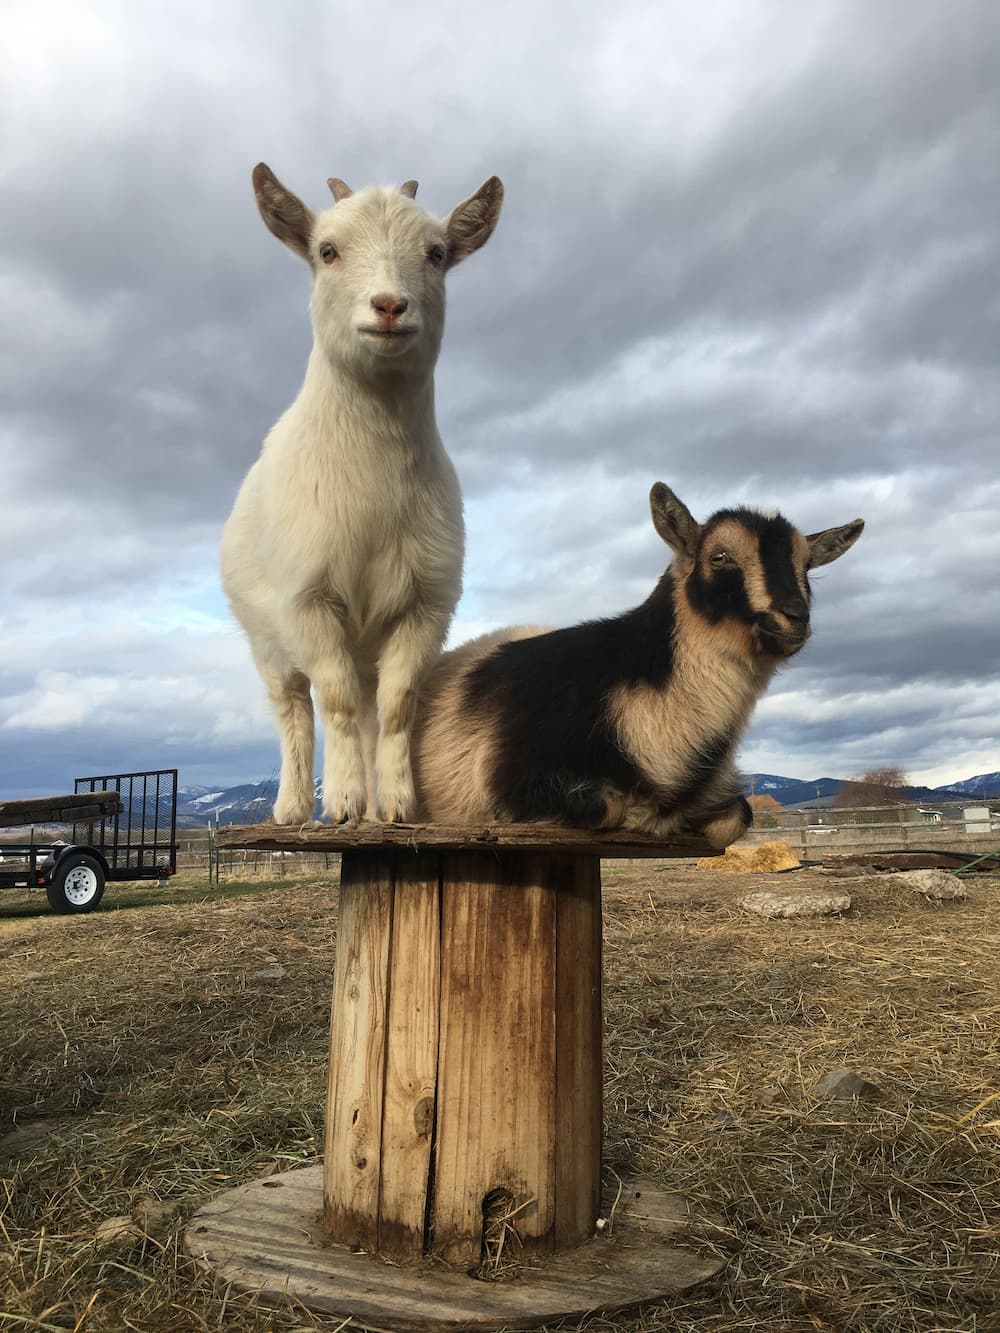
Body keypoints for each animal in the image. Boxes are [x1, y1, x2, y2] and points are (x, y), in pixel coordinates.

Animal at [221, 164, 503, 823]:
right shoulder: (309, 601)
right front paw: (345, 803)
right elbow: (336, 701)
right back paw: (295, 808)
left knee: (373, 708)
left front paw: (396, 806)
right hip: (267, 643)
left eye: (436, 253)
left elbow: (397, 707)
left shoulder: (424, 605)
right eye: (327, 251)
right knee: (294, 713)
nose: (390, 306)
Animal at [413, 484, 863, 847]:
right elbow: (609, 806)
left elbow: (736, 819)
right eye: (719, 557)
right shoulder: (510, 777)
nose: (794, 618)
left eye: (806, 567)